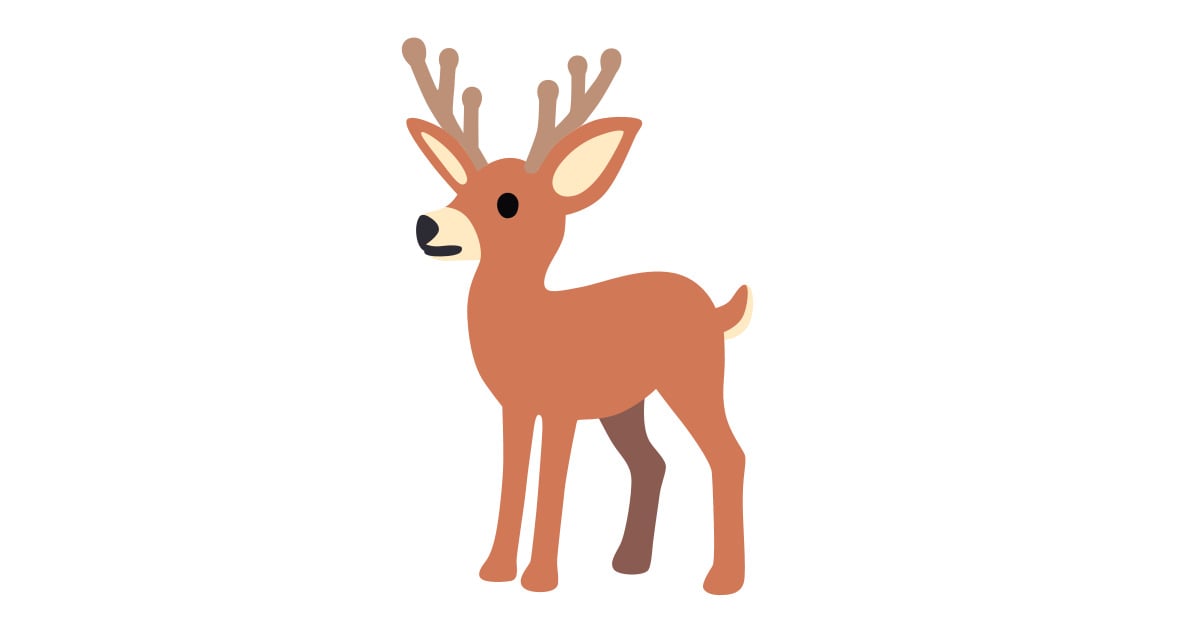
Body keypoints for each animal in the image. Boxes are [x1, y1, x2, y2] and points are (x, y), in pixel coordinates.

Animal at [402, 37, 752, 595]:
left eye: (507, 203)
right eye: (460, 189)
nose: (426, 225)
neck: (531, 319)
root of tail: (717, 309)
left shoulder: (561, 408)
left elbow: (551, 482)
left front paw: (539, 579)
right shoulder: (516, 408)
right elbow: (513, 478)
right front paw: (494, 571)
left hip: (693, 380)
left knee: (727, 454)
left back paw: (722, 580)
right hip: (625, 405)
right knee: (651, 463)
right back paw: (629, 564)